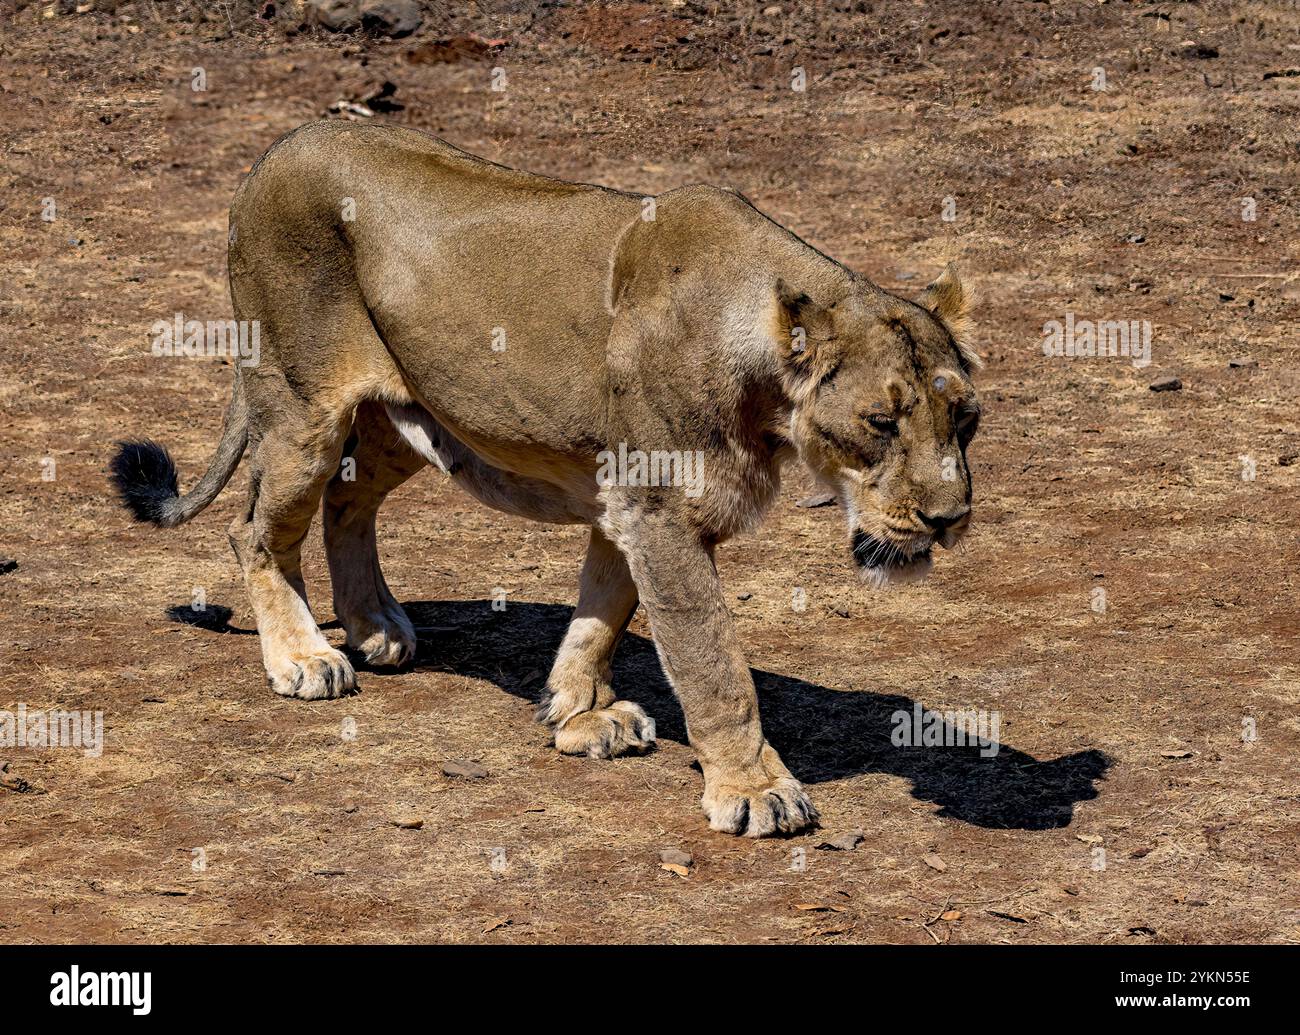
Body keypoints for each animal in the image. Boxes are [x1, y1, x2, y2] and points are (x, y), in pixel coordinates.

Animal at [110, 121, 981, 837]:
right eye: (881, 421)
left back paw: (375, 626)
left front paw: (577, 713)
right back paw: (303, 658)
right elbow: (714, 663)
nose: (950, 519)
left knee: (347, 501)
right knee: (255, 525)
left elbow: (603, 612)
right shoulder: (661, 511)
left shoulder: (625, 502)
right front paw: (754, 789)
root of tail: (275, 150)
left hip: (409, 413)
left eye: (966, 418)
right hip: (300, 405)